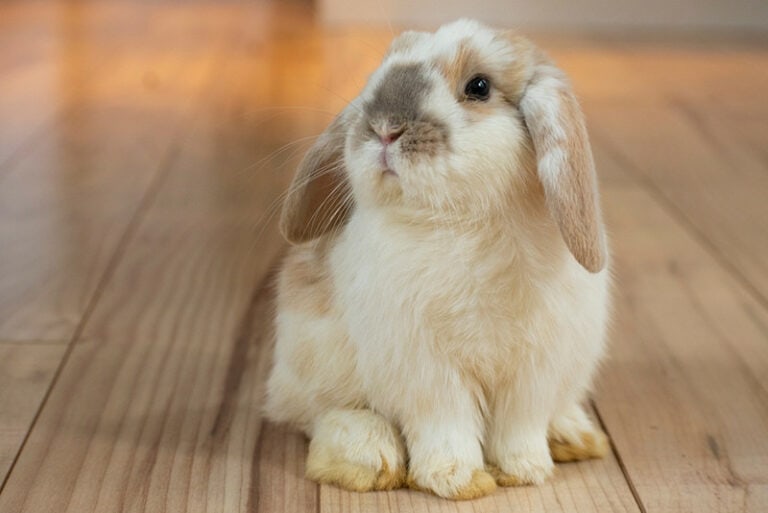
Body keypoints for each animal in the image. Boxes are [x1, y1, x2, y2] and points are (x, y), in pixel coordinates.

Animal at [264, 18, 611, 500]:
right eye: (382, 70)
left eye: (479, 86)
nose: (384, 128)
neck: (463, 222)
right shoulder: (428, 372)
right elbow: (447, 426)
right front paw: (458, 480)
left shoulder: (534, 371)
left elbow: (519, 427)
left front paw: (525, 471)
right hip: (311, 365)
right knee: (321, 414)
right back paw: (369, 458)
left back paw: (574, 436)